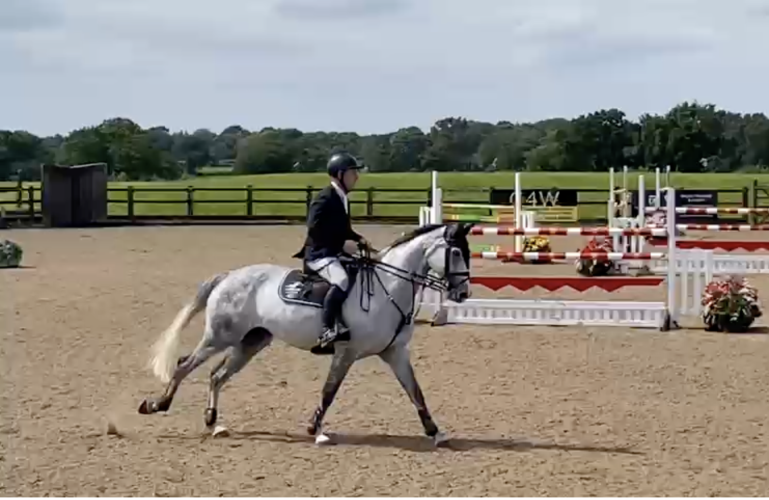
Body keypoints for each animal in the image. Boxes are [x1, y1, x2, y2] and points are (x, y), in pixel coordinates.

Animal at [137, 223, 474, 446]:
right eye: (456, 252)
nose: (463, 293)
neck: (387, 288)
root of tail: (229, 276)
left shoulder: (395, 353)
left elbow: (415, 391)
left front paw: (435, 431)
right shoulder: (346, 352)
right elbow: (329, 391)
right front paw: (315, 428)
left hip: (250, 343)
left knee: (217, 375)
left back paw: (212, 420)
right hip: (220, 338)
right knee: (184, 364)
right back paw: (157, 405)